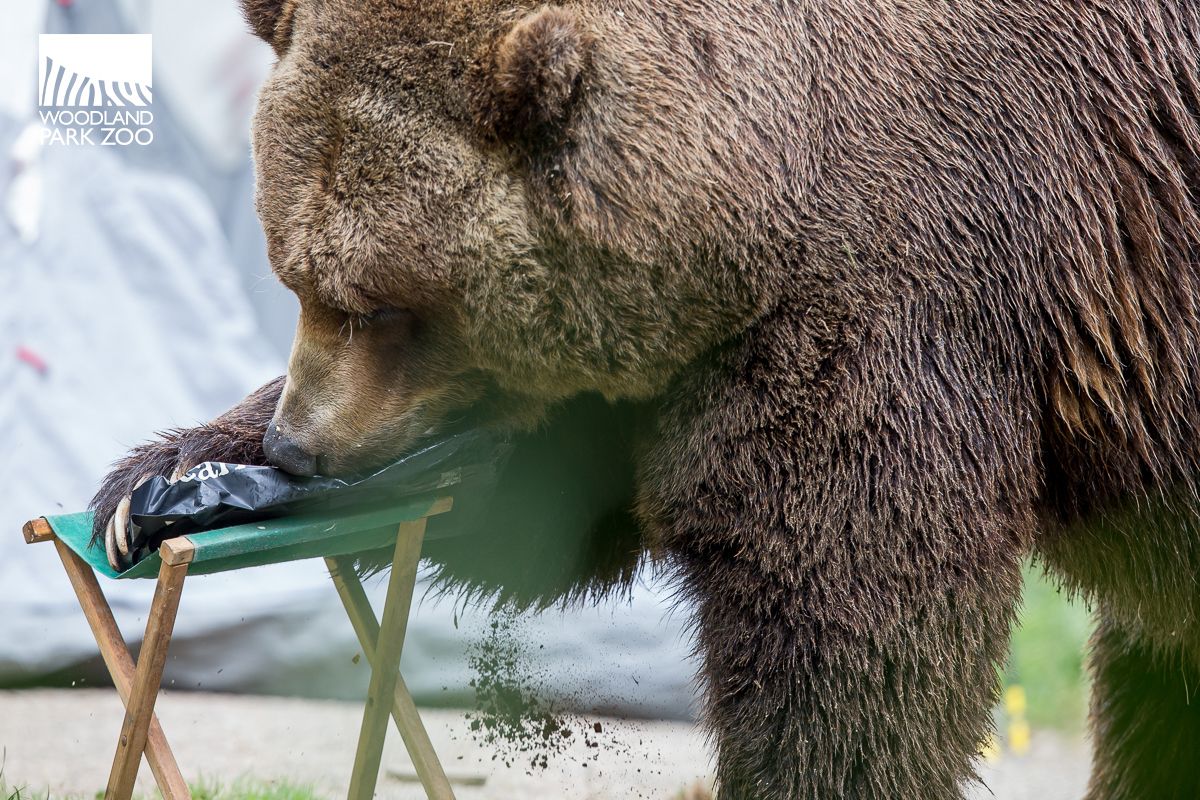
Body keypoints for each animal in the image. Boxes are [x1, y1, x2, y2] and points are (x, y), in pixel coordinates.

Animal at [90, 0, 1200, 796]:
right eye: (292, 276)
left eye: (383, 304)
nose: (300, 446)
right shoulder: (647, 369)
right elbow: (530, 507)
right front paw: (164, 481)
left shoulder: (908, 281)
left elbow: (849, 618)